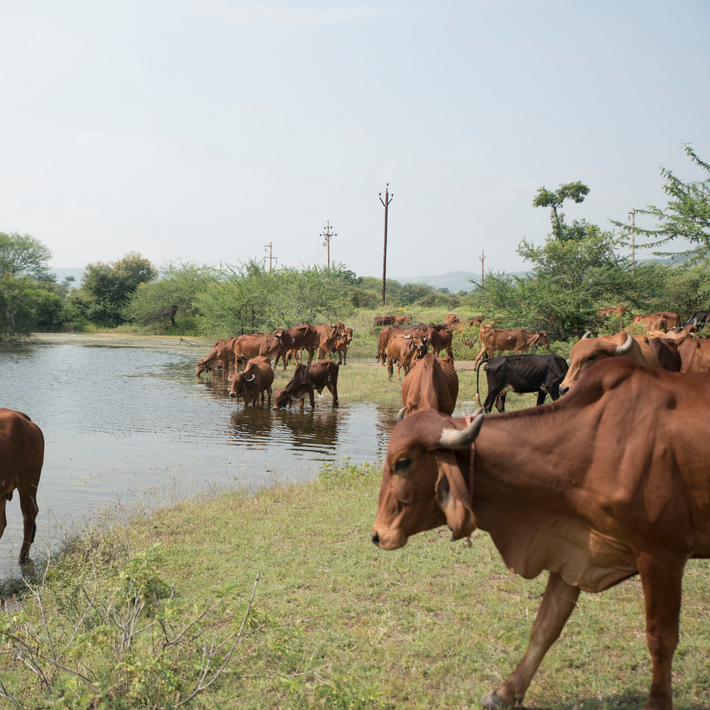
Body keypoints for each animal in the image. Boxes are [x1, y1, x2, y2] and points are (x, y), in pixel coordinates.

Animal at [371, 358, 710, 710]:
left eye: (403, 462)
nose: (378, 535)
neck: (592, 444)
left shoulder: (662, 554)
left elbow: (661, 639)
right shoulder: (574, 550)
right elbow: (546, 626)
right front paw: (506, 691)